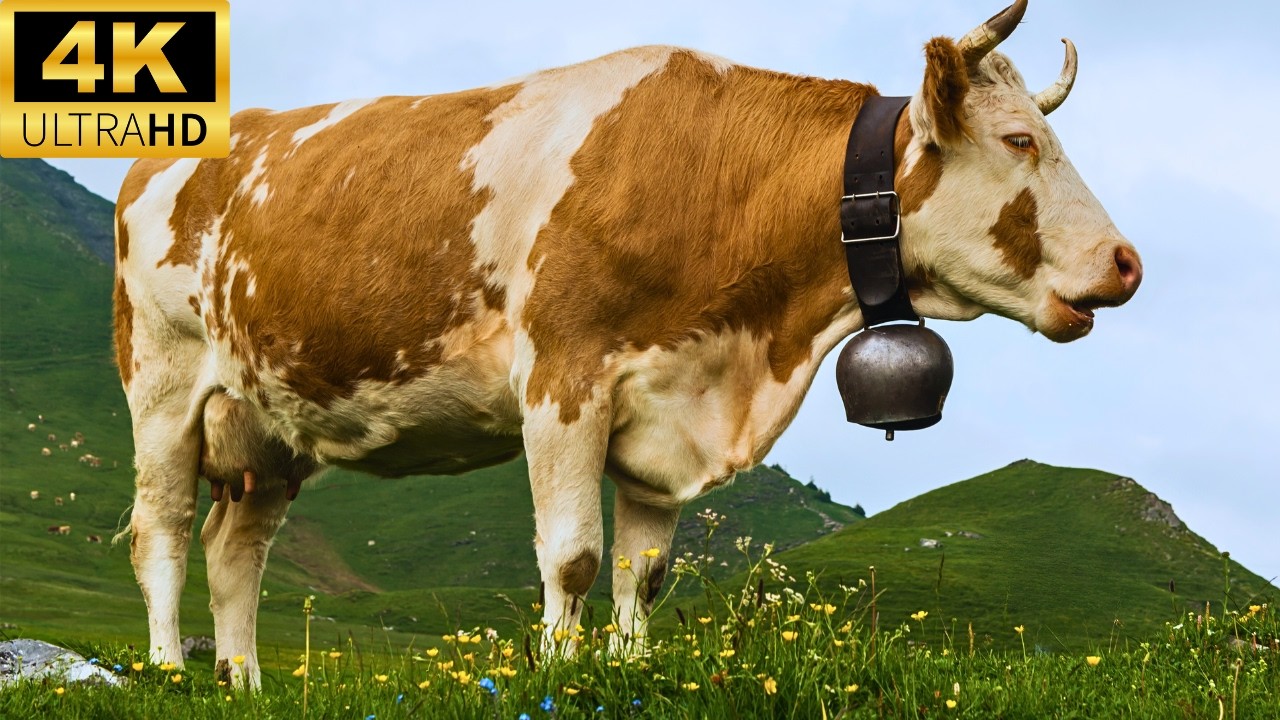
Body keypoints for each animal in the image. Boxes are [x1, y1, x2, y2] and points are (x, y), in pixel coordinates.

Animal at [112, 1, 1140, 688]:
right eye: (1020, 140)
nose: (1127, 263)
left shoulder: (667, 406)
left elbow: (645, 572)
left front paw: (631, 666)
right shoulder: (564, 377)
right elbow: (572, 554)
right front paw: (561, 671)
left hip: (268, 424)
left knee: (233, 548)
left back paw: (243, 684)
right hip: (162, 386)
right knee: (163, 533)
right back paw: (169, 671)